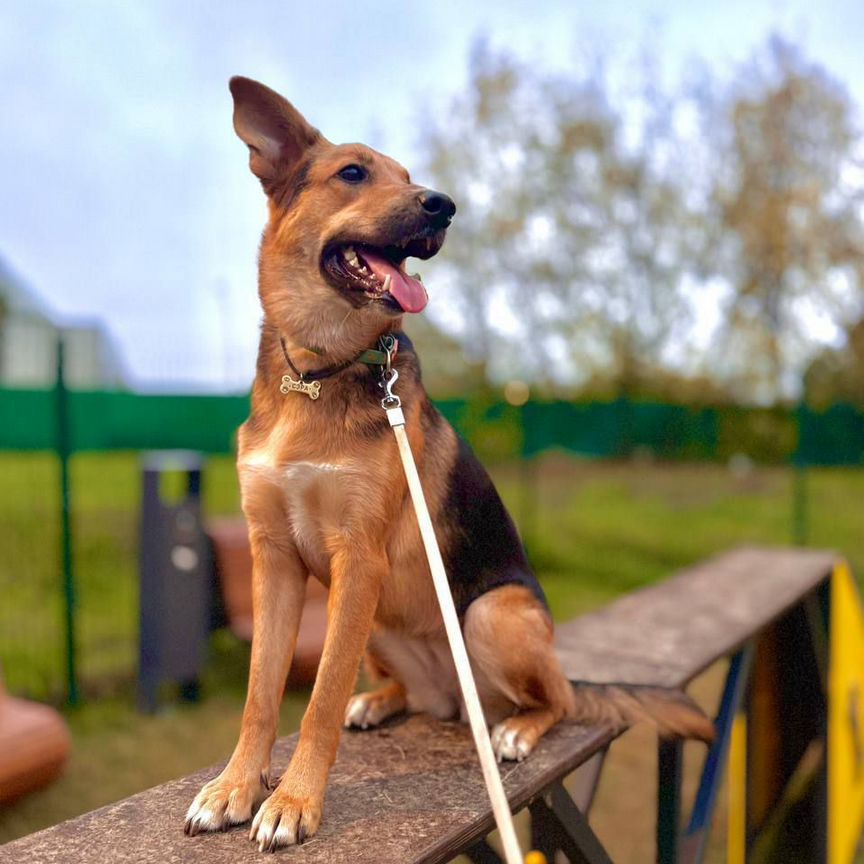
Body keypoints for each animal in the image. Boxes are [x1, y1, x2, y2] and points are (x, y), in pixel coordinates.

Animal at [184, 76, 716, 852]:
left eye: (410, 177)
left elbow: (316, 700)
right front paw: (233, 787)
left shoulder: (358, 558)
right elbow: (262, 695)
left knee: (559, 697)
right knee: (398, 690)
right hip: (374, 620)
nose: (444, 205)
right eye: (353, 173)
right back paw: (382, 701)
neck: (318, 370)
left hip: (488, 614)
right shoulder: (275, 559)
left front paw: (292, 801)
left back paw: (518, 730)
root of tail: (457, 697)